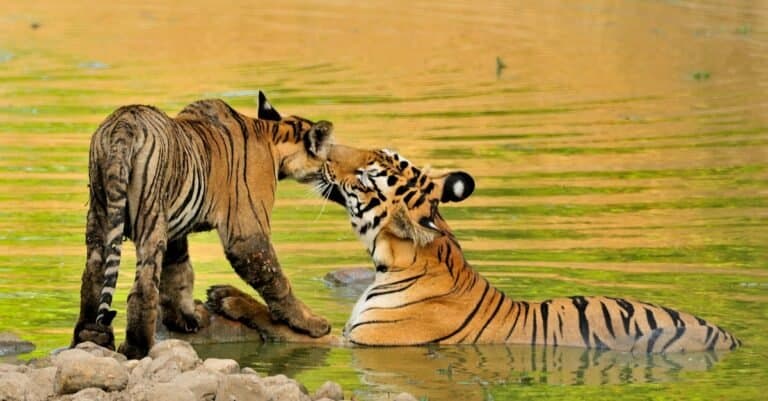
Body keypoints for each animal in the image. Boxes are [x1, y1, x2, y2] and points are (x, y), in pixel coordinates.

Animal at [72, 91, 334, 359]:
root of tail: (122, 124)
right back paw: (137, 348)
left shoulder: (175, 232)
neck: (272, 138)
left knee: (93, 278)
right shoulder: (247, 232)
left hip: (100, 213)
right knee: (143, 287)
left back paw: (91, 337)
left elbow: (178, 274)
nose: (332, 173)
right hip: (150, 217)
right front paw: (312, 323)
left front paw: (186, 317)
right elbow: (276, 280)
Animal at [207, 145, 741, 353]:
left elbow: (292, 331)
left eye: (366, 176)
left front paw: (228, 298)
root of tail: (731, 337)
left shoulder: (364, 342)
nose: (325, 154)